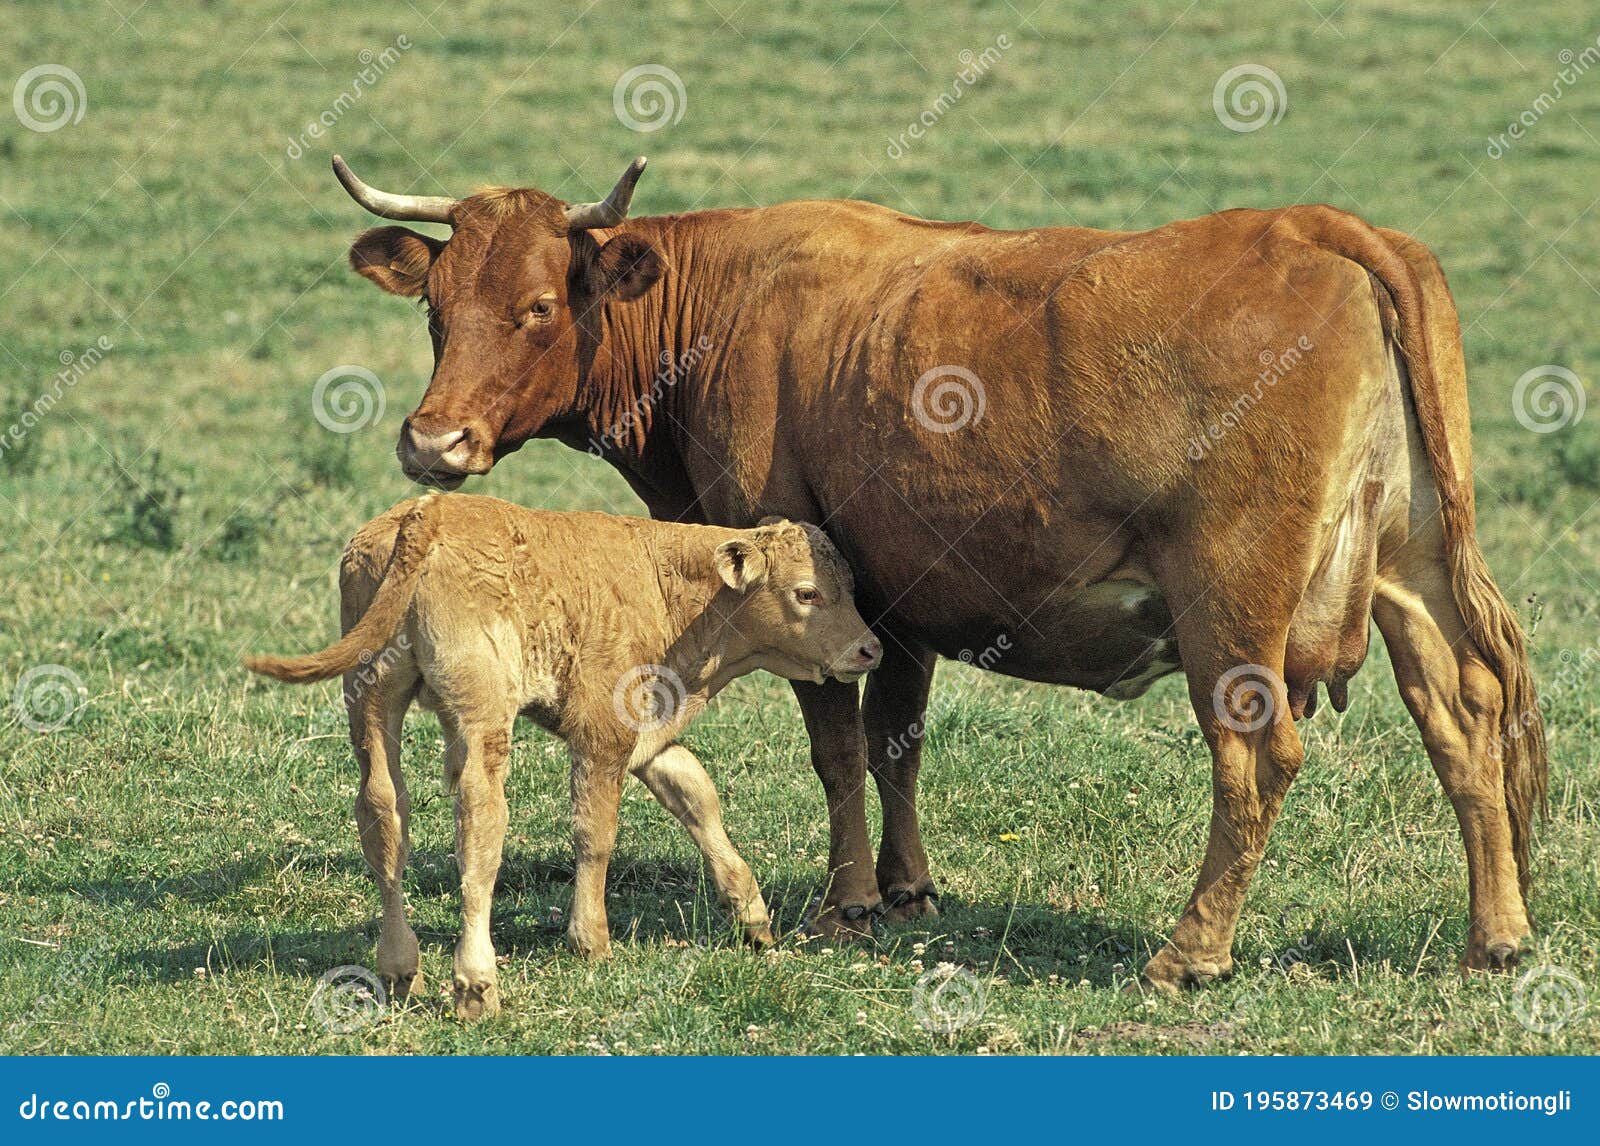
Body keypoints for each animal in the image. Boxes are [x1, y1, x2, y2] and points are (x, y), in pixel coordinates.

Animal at [246, 493, 882, 1018]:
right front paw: (590, 939)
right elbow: (595, 833)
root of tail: (428, 511)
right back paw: (476, 983)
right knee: (480, 820)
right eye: (806, 593)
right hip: (481, 714)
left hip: (374, 700)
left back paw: (402, 968)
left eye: (850, 587)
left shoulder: (649, 736)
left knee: (383, 812)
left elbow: (697, 798)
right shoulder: (603, 732)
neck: (665, 585)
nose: (869, 649)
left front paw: (750, 914)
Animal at [326, 152, 1547, 991]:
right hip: (1411, 576)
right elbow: (895, 742)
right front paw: (907, 886)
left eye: (538, 306)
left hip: (1231, 609)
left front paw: (849, 900)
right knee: (1465, 718)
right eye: (436, 310)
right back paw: (1497, 933)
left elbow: (836, 746)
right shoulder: (897, 592)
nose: (432, 444)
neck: (727, 305)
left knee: (1257, 759)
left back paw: (1191, 950)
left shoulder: (808, 586)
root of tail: (1318, 228)